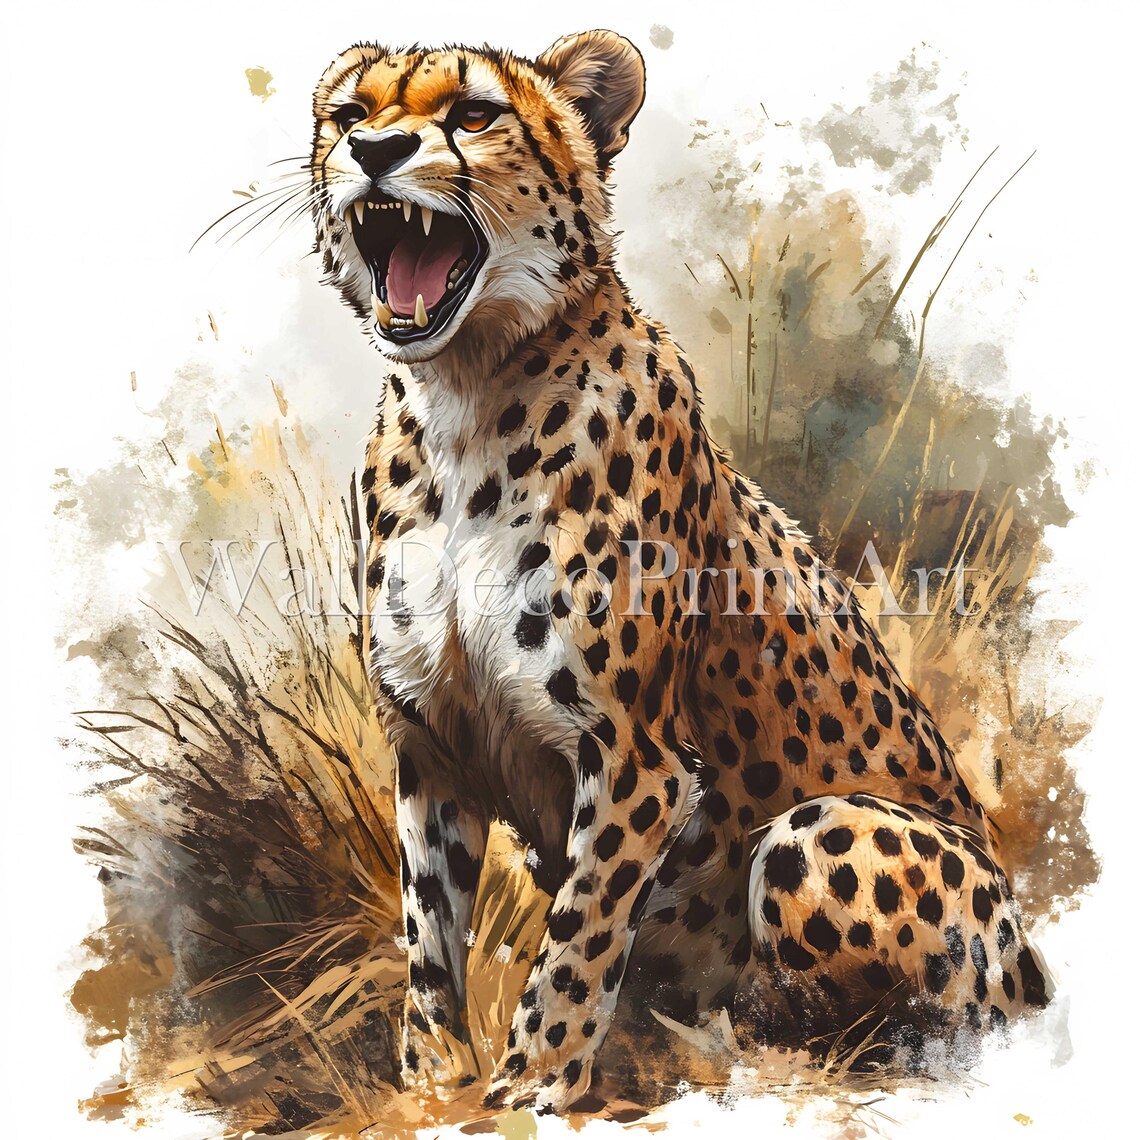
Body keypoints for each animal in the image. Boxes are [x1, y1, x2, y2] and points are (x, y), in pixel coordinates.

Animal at [308, 29, 1049, 1114]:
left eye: (476, 114)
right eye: (350, 114)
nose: (374, 153)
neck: (463, 400)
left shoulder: (635, 758)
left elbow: (575, 939)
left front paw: (531, 1087)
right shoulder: (432, 743)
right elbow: (428, 929)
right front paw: (433, 1080)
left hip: (819, 836)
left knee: (923, 1032)